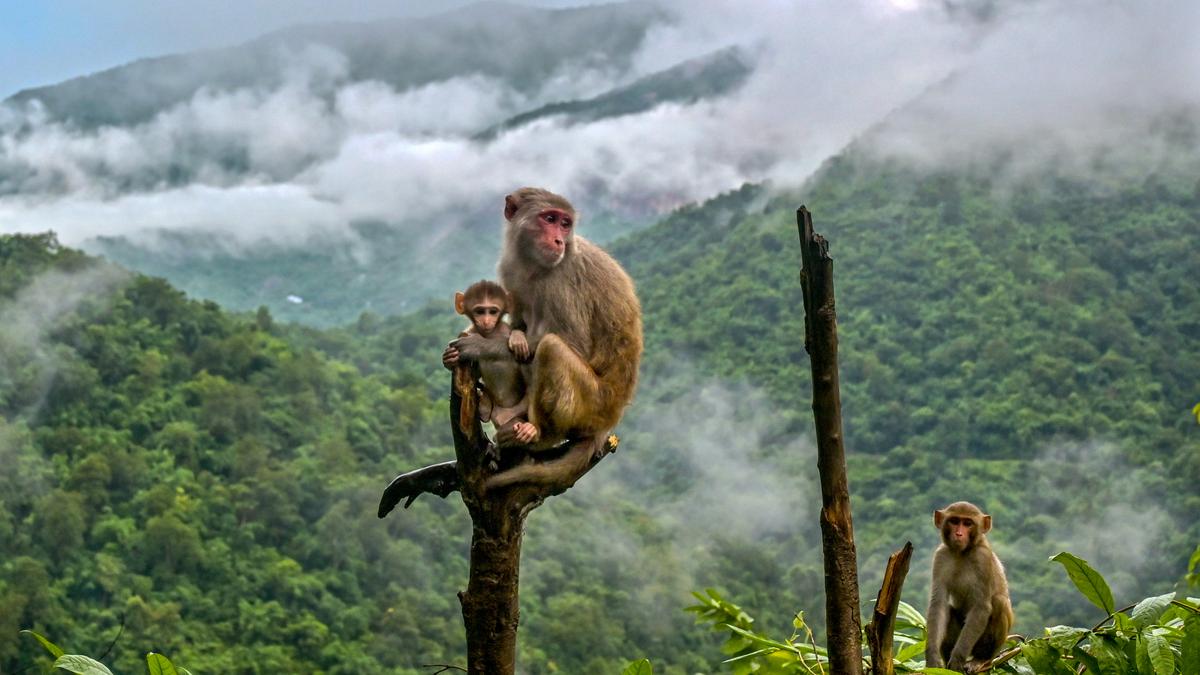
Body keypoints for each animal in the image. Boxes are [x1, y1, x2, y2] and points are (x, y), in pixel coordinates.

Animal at [449, 280, 538, 445]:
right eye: (479, 311)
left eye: (493, 311)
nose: (486, 321)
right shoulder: (469, 332)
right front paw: (448, 358)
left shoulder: (504, 330)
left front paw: (518, 337)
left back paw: (528, 428)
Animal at [926, 501, 1014, 674]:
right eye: (954, 521)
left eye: (968, 523)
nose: (959, 534)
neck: (962, 553)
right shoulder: (941, 556)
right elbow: (938, 605)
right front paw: (932, 658)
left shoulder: (983, 559)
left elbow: (981, 607)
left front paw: (957, 659)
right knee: (949, 609)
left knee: (999, 602)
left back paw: (979, 659)